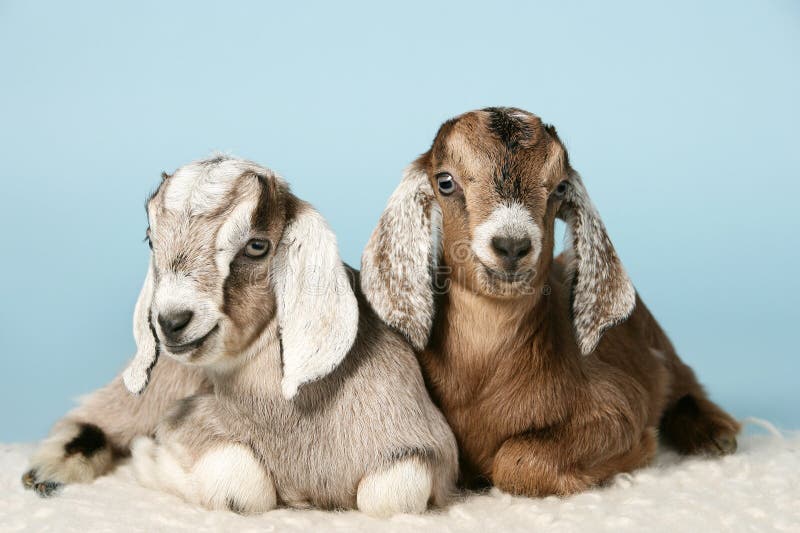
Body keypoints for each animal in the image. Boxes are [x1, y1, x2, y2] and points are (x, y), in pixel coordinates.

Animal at [23, 156, 458, 516]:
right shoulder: (187, 418)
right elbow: (240, 487)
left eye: (257, 245)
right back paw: (47, 470)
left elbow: (392, 497)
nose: (171, 321)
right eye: (150, 238)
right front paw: (149, 458)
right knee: (97, 415)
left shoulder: (427, 448)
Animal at [360, 107, 740, 496]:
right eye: (445, 181)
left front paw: (636, 454)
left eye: (559, 187)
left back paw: (716, 435)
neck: (481, 373)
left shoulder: (620, 404)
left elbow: (515, 460)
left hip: (658, 341)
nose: (512, 245)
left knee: (684, 381)